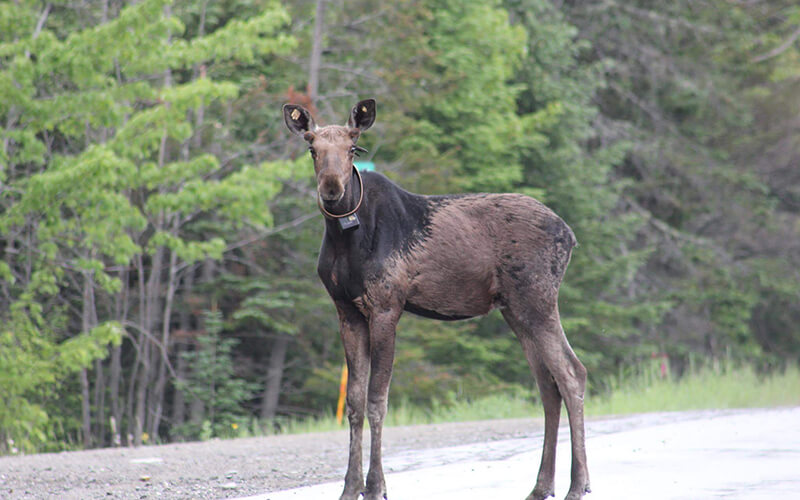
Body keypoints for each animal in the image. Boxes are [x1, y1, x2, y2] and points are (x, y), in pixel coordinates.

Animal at [282, 99, 590, 500]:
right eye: (312, 149)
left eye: (352, 148)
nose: (331, 189)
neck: (345, 238)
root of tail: (570, 235)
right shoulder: (346, 310)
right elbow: (353, 402)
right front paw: (349, 488)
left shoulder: (386, 305)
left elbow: (377, 400)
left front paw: (376, 486)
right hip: (515, 310)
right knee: (547, 385)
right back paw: (541, 486)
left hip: (537, 299)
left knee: (572, 373)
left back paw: (578, 484)